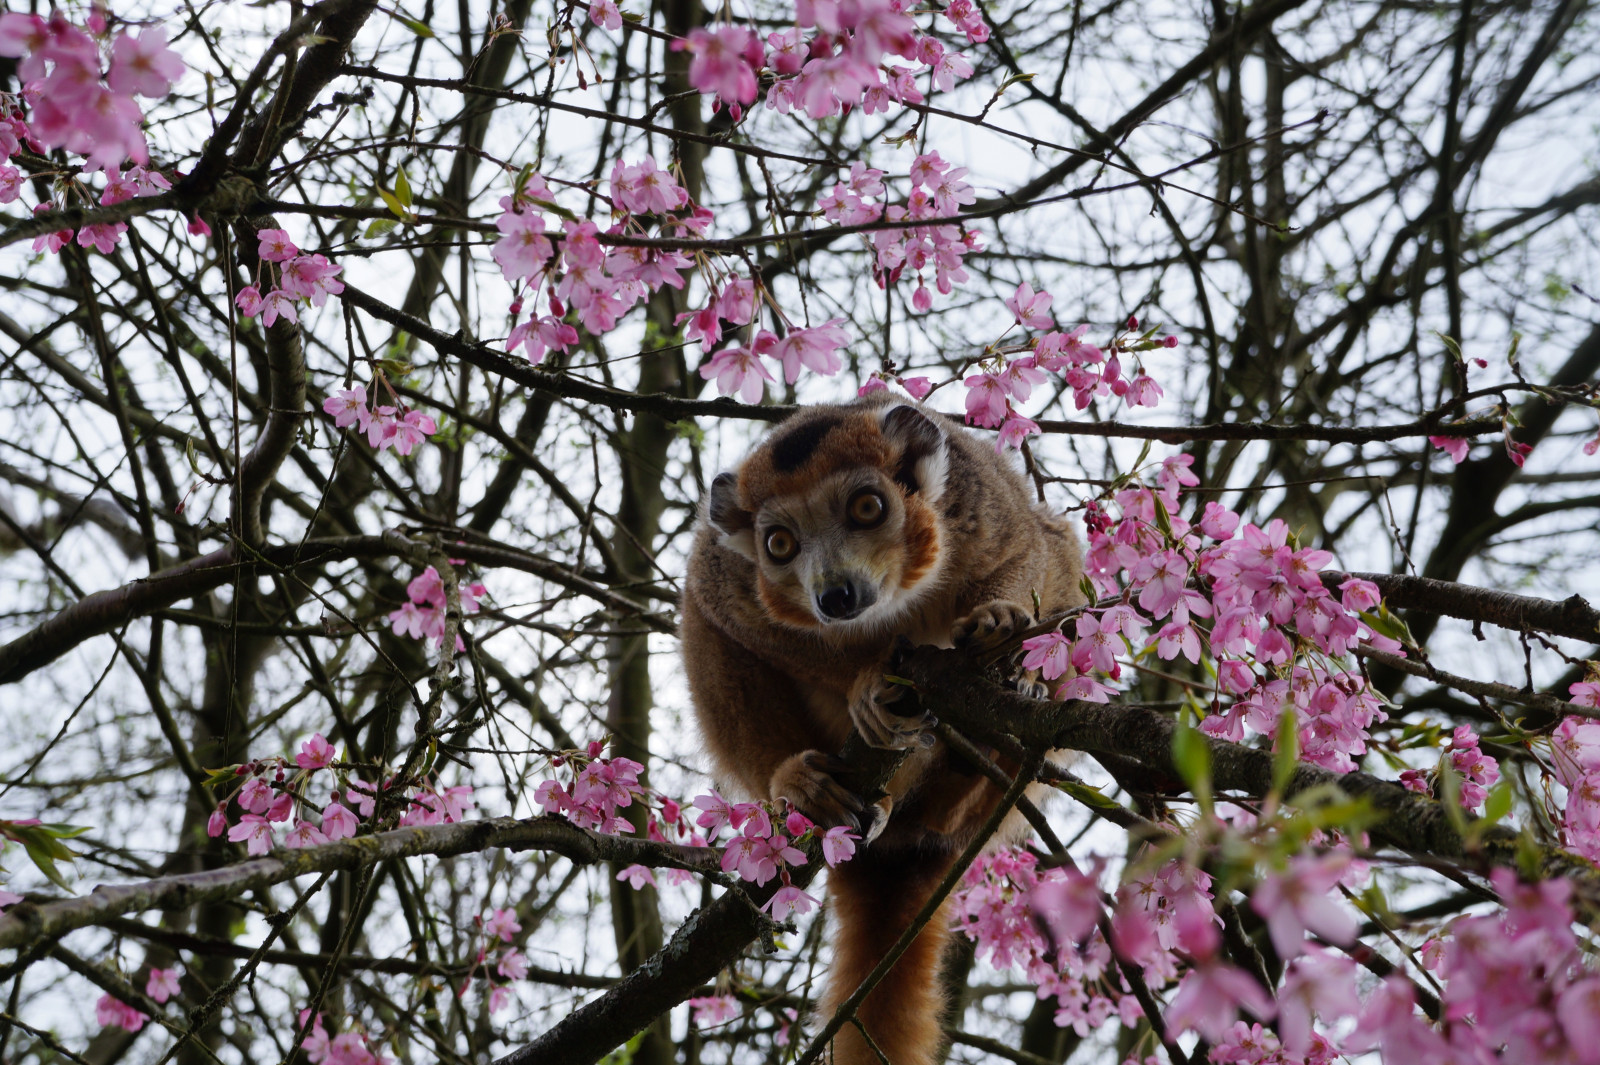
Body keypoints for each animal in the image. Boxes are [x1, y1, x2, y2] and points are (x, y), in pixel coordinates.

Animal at [681, 392, 1085, 1065]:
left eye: (867, 507)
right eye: (780, 544)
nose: (835, 595)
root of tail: (901, 850)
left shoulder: (979, 504)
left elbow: (1040, 551)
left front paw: (1000, 618)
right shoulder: (726, 574)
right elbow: (725, 611)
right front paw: (866, 682)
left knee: (1072, 610)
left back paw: (978, 758)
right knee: (704, 628)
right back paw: (799, 784)